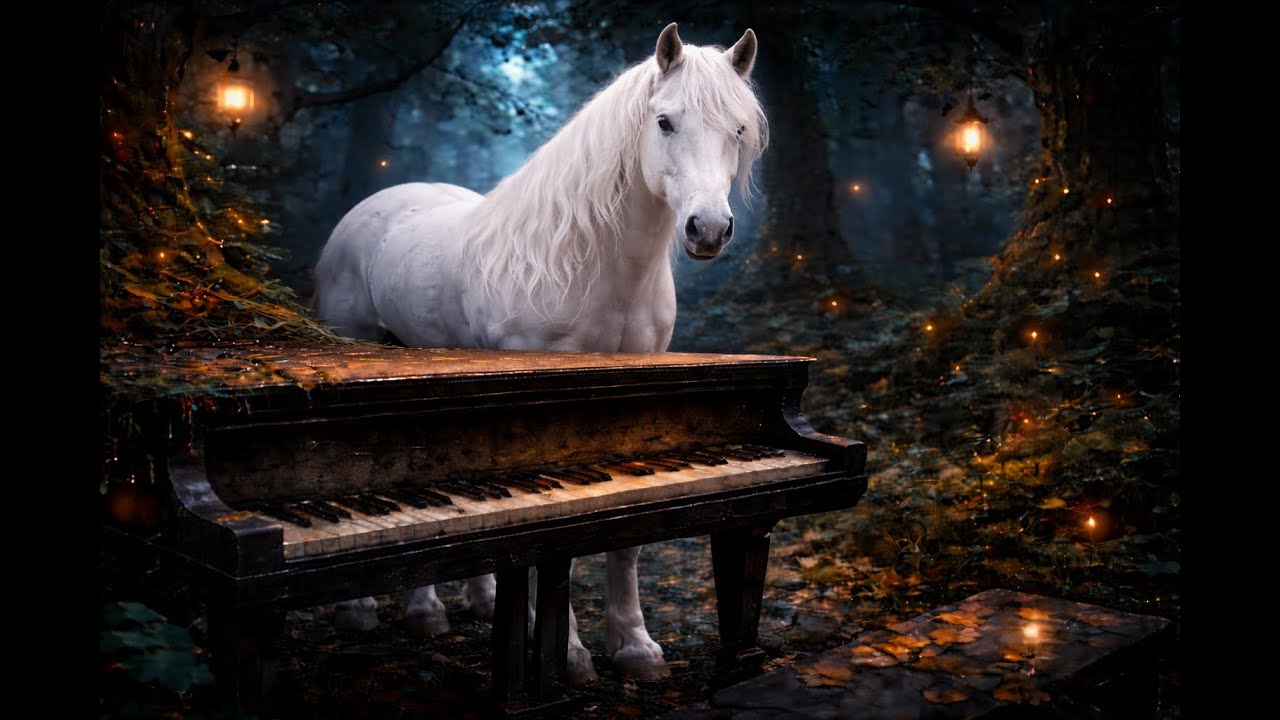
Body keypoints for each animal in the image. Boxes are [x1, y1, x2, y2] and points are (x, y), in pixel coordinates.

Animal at [313, 22, 767, 684]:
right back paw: (367, 612)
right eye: (664, 122)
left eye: (737, 129)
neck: (594, 262)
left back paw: (456, 607)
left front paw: (635, 647)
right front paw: (571, 655)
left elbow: (625, 544)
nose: (707, 229)